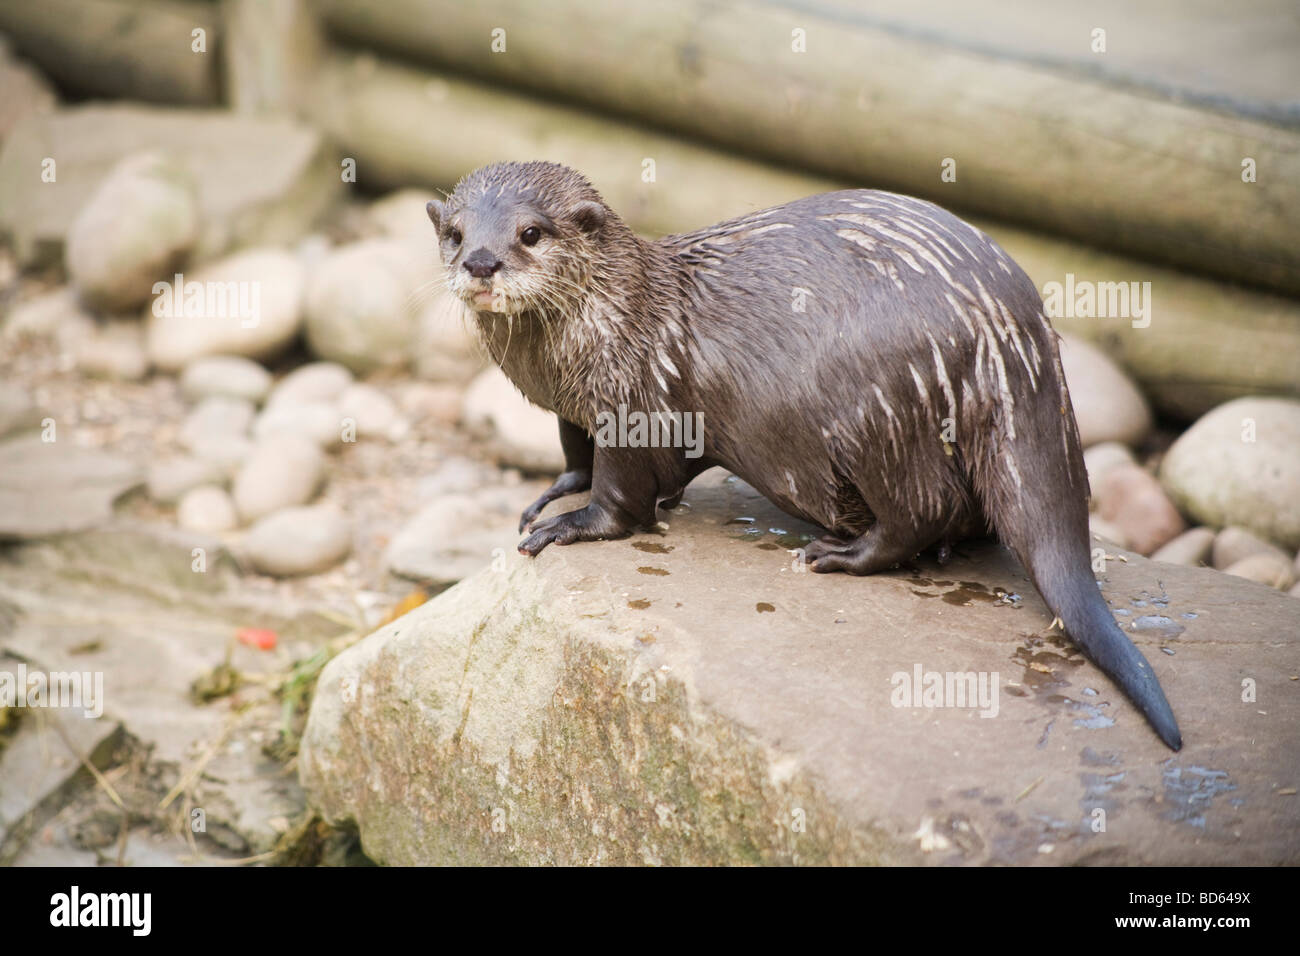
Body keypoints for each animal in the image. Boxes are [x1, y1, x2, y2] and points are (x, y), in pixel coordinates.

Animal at [426, 160, 1182, 751]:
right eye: (454, 232)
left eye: (530, 233)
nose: (481, 263)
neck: (606, 330)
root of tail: (1009, 333)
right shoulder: (570, 406)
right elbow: (575, 453)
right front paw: (556, 492)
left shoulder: (636, 397)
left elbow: (622, 497)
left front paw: (573, 526)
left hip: (872, 409)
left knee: (918, 504)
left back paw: (842, 554)